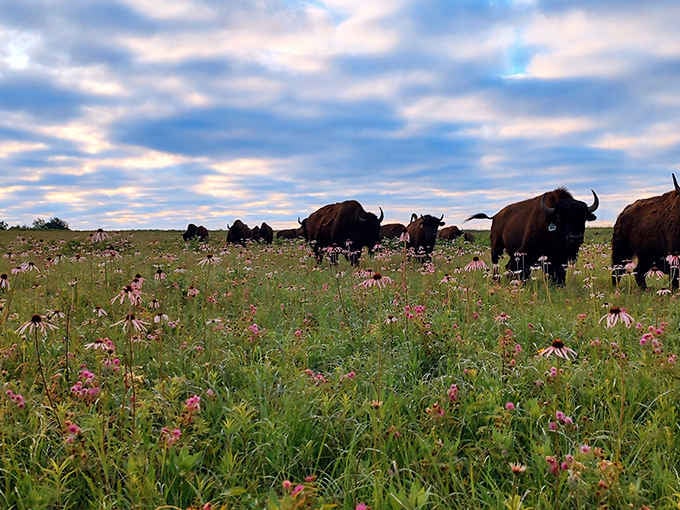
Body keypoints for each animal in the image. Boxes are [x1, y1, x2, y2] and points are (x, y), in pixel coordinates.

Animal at [466, 188, 599, 284]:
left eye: (583, 217)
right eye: (560, 217)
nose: (575, 238)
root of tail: (495, 216)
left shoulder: (559, 258)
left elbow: (557, 273)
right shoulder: (526, 252)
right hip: (497, 247)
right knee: (497, 263)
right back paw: (497, 280)